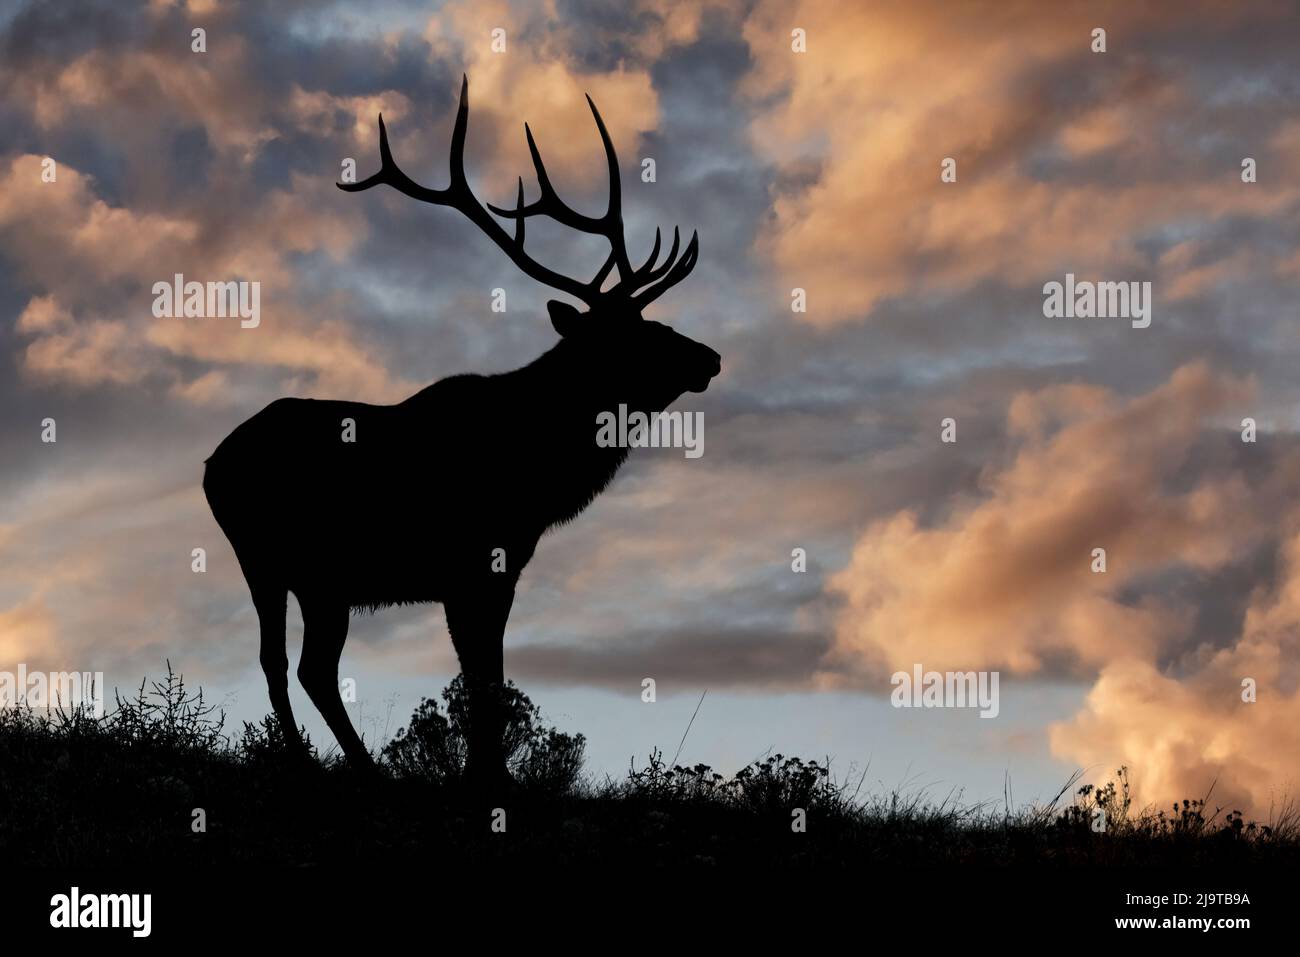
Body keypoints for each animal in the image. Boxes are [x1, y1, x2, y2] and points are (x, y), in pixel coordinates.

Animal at [202, 76, 720, 791]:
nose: (709, 358)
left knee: (297, 666)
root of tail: (210, 467)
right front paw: (487, 775)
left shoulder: (494, 567)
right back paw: (347, 768)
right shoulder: (470, 562)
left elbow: (487, 671)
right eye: (631, 336)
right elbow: (482, 676)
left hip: (305, 576)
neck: (541, 475)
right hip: (278, 559)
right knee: (297, 666)